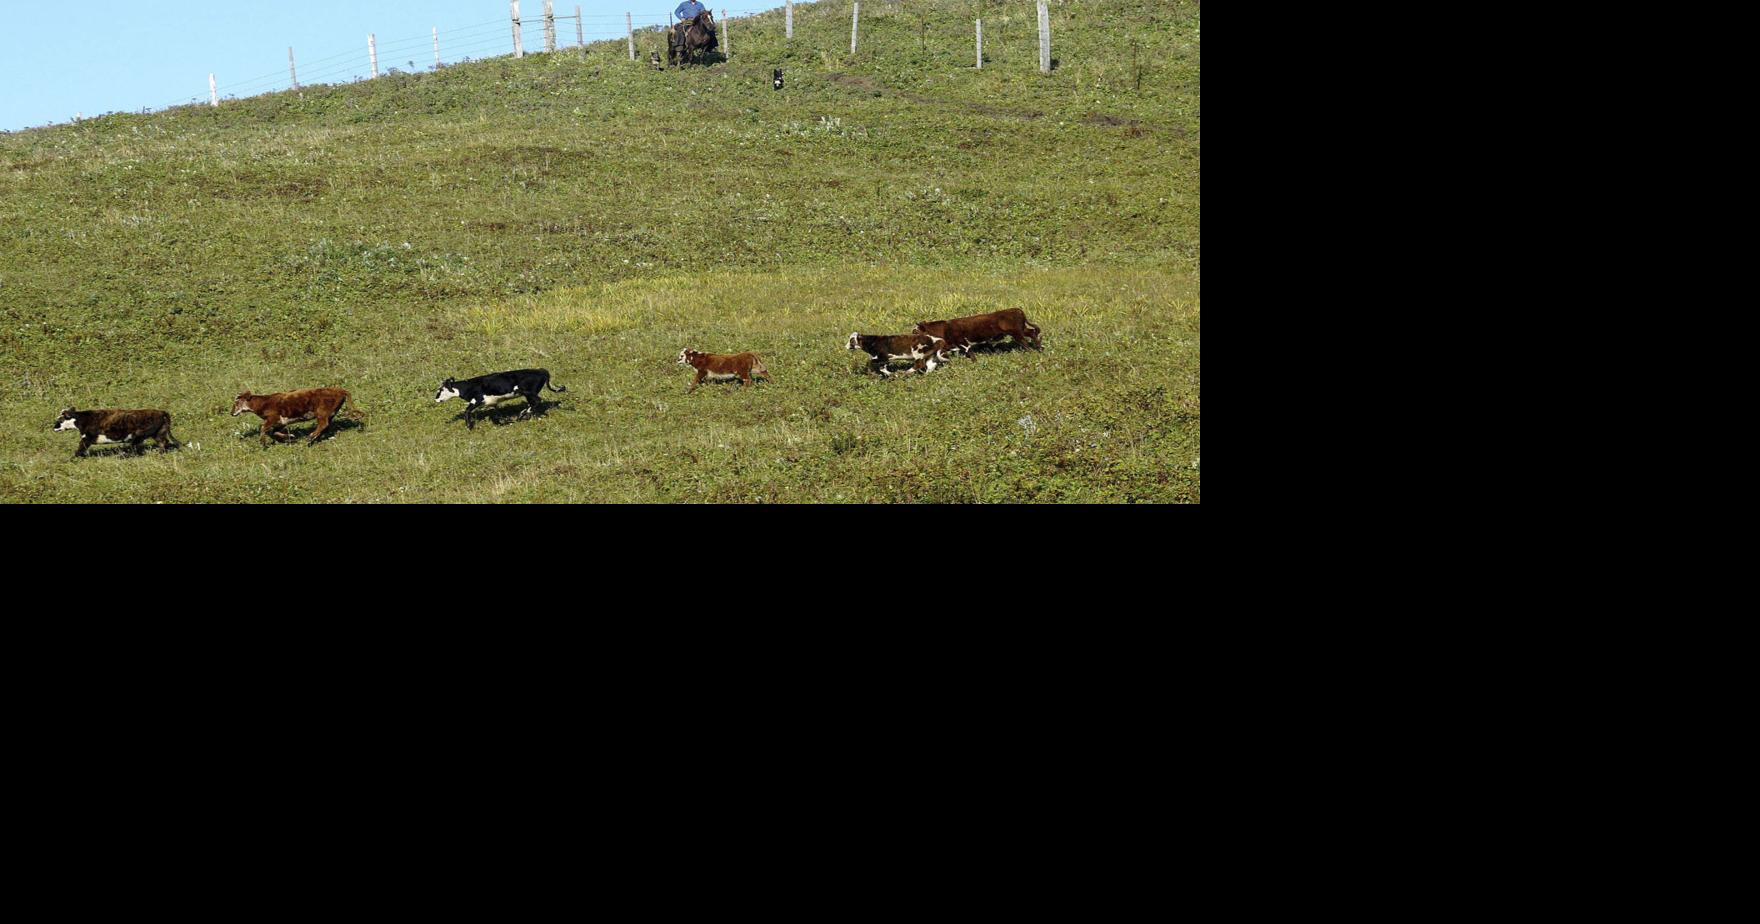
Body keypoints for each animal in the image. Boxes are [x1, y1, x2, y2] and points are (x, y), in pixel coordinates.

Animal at [434, 368, 566, 430]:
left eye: (440, 390)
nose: (436, 399)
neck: (469, 386)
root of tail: (541, 370)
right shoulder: (492, 403)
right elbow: (496, 416)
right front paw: (505, 422)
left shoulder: (476, 400)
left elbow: (467, 411)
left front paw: (469, 427)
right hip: (528, 394)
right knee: (533, 403)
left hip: (528, 392)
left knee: (537, 401)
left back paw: (521, 415)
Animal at [913, 308, 1042, 357]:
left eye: (915, 331)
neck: (945, 328)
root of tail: (1017, 309)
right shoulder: (951, 343)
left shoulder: (961, 341)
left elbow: (969, 352)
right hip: (1021, 330)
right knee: (1032, 332)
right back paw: (1039, 347)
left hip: (1017, 333)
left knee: (1025, 341)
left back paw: (1031, 351)